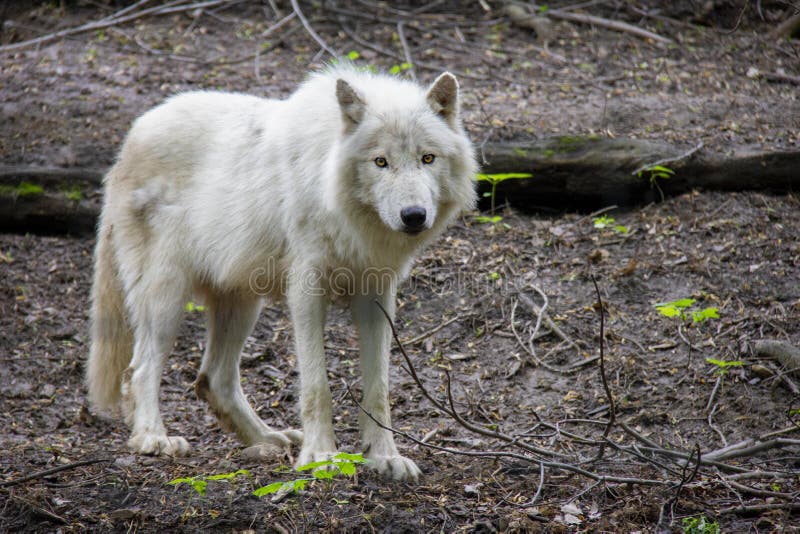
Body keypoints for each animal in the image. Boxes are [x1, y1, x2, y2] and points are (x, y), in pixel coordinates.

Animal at [86, 64, 477, 481]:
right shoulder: (306, 291)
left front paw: (384, 457)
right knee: (139, 370)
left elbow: (378, 388)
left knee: (213, 380)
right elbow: (317, 386)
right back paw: (152, 438)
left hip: (242, 303)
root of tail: (130, 139)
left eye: (427, 158)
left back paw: (268, 439)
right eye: (380, 162)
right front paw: (321, 456)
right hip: (167, 299)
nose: (413, 216)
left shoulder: (377, 295)